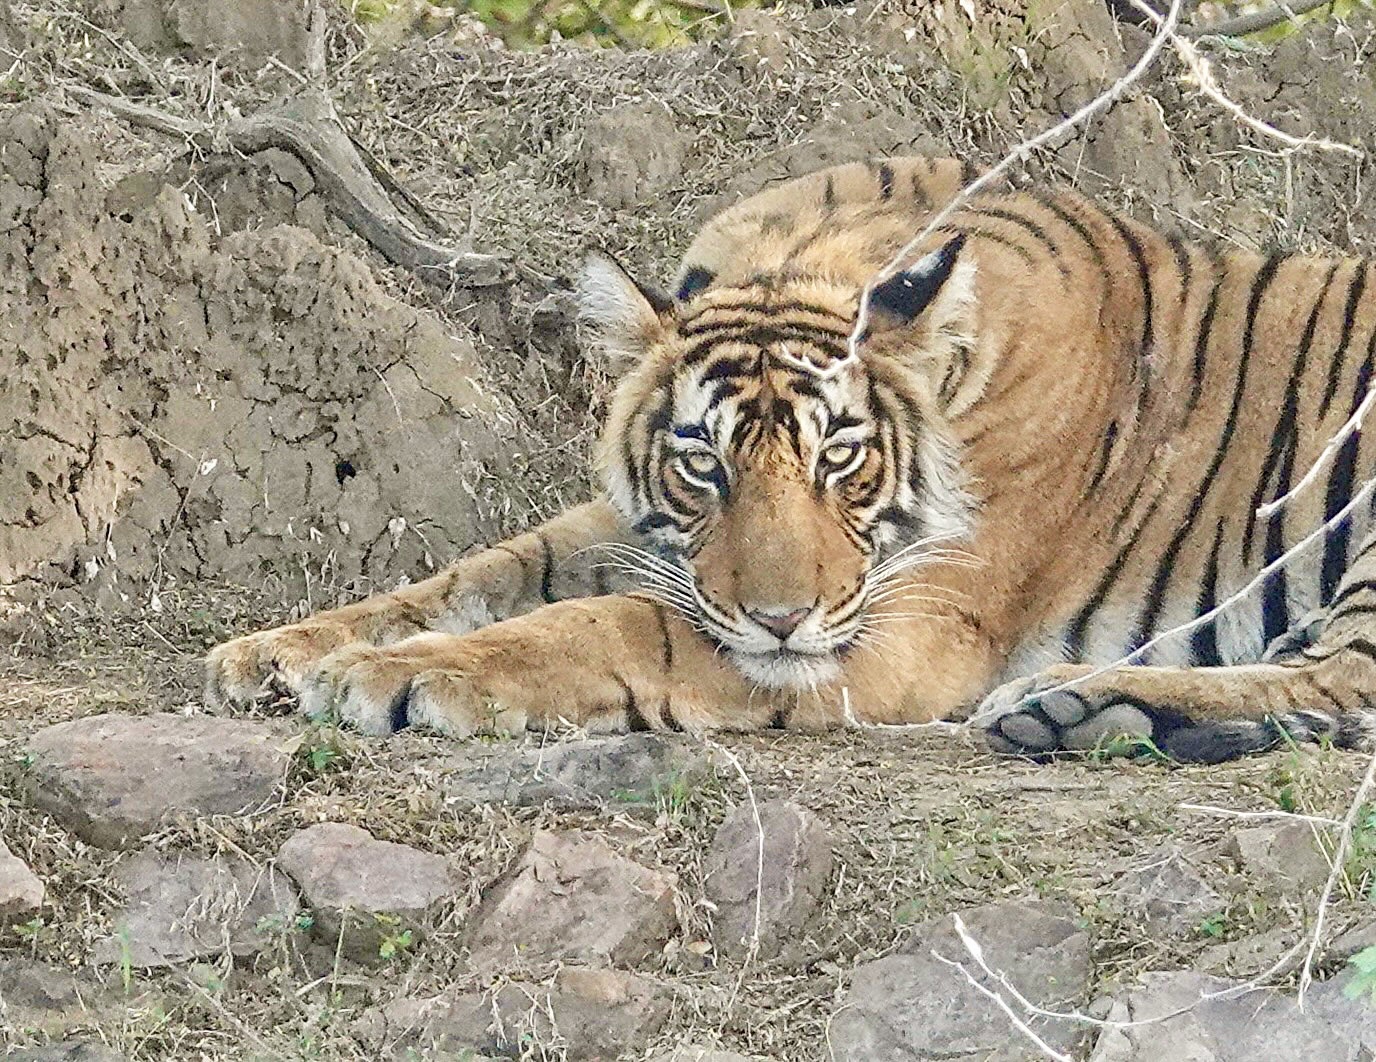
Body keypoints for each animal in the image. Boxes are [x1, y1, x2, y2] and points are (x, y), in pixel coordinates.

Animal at [206, 155, 1376, 764]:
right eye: (703, 466)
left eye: (841, 459)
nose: (780, 618)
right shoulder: (635, 527)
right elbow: (486, 571)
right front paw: (276, 651)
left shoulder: (909, 622)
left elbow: (614, 626)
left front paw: (400, 676)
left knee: (1345, 678)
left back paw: (1066, 703)